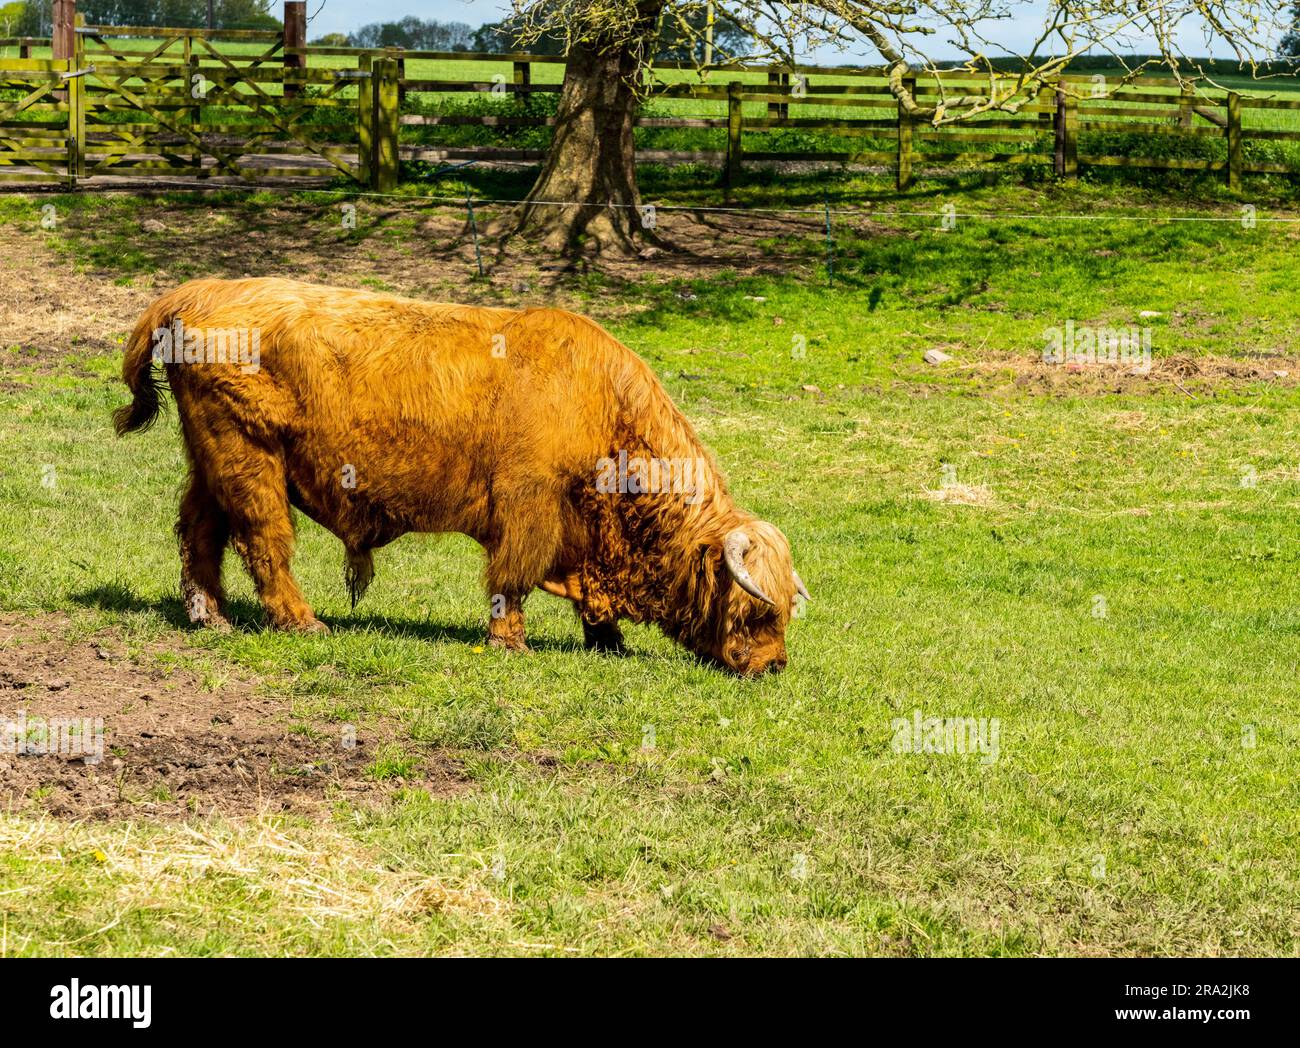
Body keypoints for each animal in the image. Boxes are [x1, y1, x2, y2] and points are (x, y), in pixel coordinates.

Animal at [113, 278, 808, 675]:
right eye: (755, 608)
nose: (774, 666)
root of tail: (190, 294)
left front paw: (607, 640)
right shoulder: (529, 505)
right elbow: (513, 577)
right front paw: (512, 643)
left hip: (214, 460)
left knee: (199, 530)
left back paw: (210, 615)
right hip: (248, 456)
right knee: (264, 540)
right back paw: (300, 620)